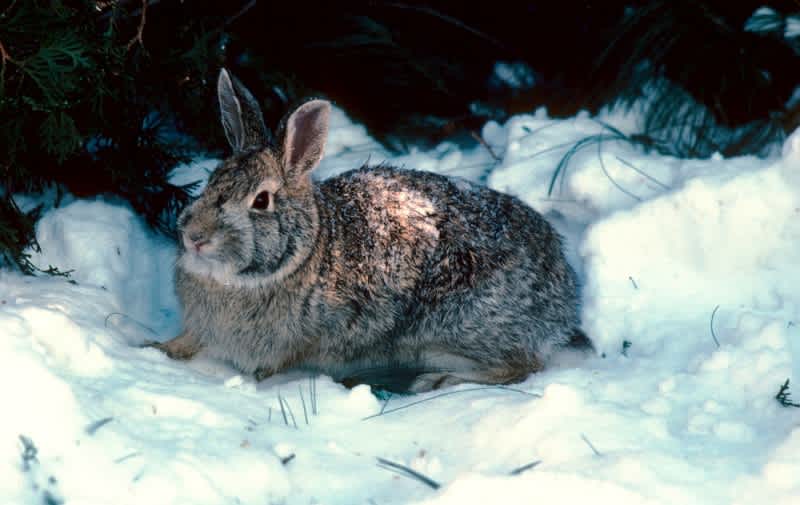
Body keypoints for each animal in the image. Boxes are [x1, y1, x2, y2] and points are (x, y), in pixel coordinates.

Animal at [152, 68, 592, 392]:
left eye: (261, 201)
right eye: (212, 180)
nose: (194, 236)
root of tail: (565, 297)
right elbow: (188, 341)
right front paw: (154, 347)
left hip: (452, 331)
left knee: (522, 365)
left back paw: (438, 381)